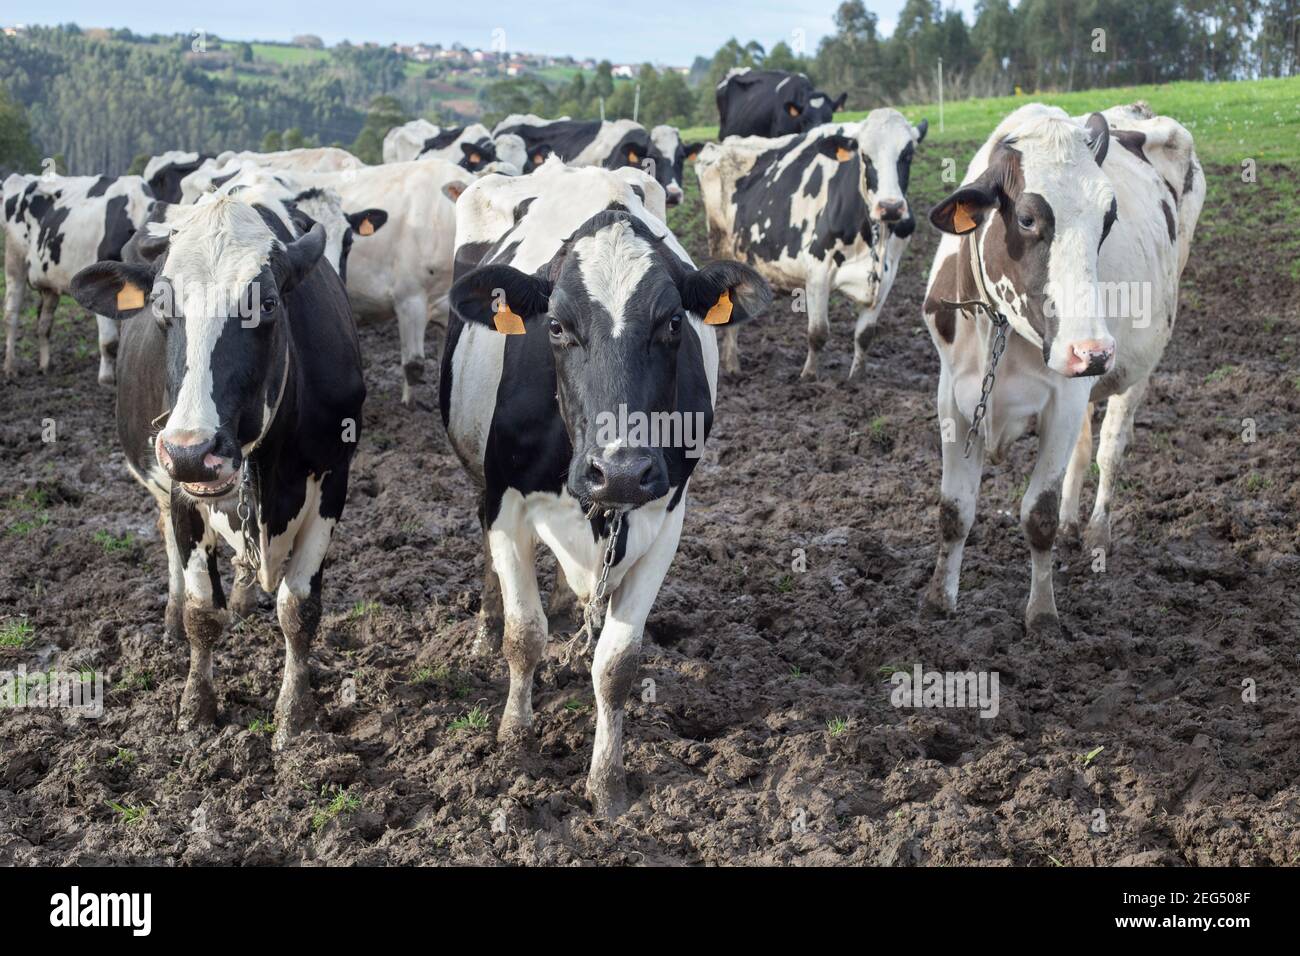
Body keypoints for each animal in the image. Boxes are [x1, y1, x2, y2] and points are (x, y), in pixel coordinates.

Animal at [3, 172, 154, 384]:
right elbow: (110, 342)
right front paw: (107, 379)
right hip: (14, 261)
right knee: (11, 315)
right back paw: (10, 368)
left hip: (49, 279)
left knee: (44, 322)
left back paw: (45, 365)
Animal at [69, 195, 365, 747]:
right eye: (161, 304)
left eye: (266, 304)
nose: (193, 449)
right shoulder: (181, 488)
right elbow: (202, 611)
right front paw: (197, 708)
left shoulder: (333, 480)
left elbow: (299, 609)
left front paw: (295, 717)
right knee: (169, 542)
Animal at [441, 157, 771, 816]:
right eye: (556, 326)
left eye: (672, 324)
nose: (618, 470)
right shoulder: (505, 504)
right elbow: (524, 634)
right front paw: (515, 742)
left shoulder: (666, 514)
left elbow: (616, 663)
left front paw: (607, 783)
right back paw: (486, 629)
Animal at [696, 109, 927, 380]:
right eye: (865, 156)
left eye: (908, 154)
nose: (890, 207)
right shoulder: (818, 268)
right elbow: (818, 333)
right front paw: (809, 377)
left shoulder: (889, 272)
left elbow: (865, 335)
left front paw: (856, 379)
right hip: (721, 245)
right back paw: (732, 367)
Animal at [920, 103, 1204, 631]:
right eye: (1027, 217)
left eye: (1109, 217)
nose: (1092, 351)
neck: (1001, 330)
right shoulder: (953, 396)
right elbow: (954, 510)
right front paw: (938, 601)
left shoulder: (1064, 399)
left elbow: (1039, 515)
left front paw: (1042, 613)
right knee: (1084, 448)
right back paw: (1076, 521)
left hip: (1138, 365)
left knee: (1110, 449)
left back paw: (1095, 532)